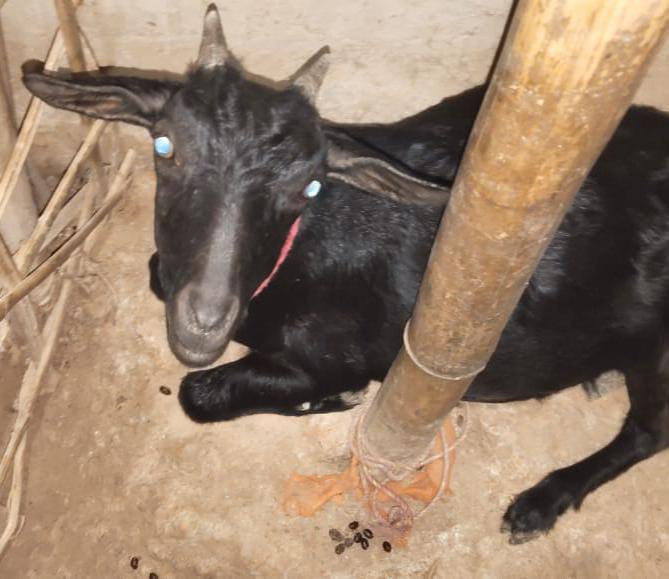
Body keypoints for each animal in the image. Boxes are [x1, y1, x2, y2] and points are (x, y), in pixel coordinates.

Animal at [22, 4, 669, 543]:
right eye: (164, 146)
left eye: (309, 186)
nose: (205, 321)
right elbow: (159, 275)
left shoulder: (339, 354)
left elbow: (197, 392)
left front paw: (331, 399)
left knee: (648, 433)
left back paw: (540, 502)